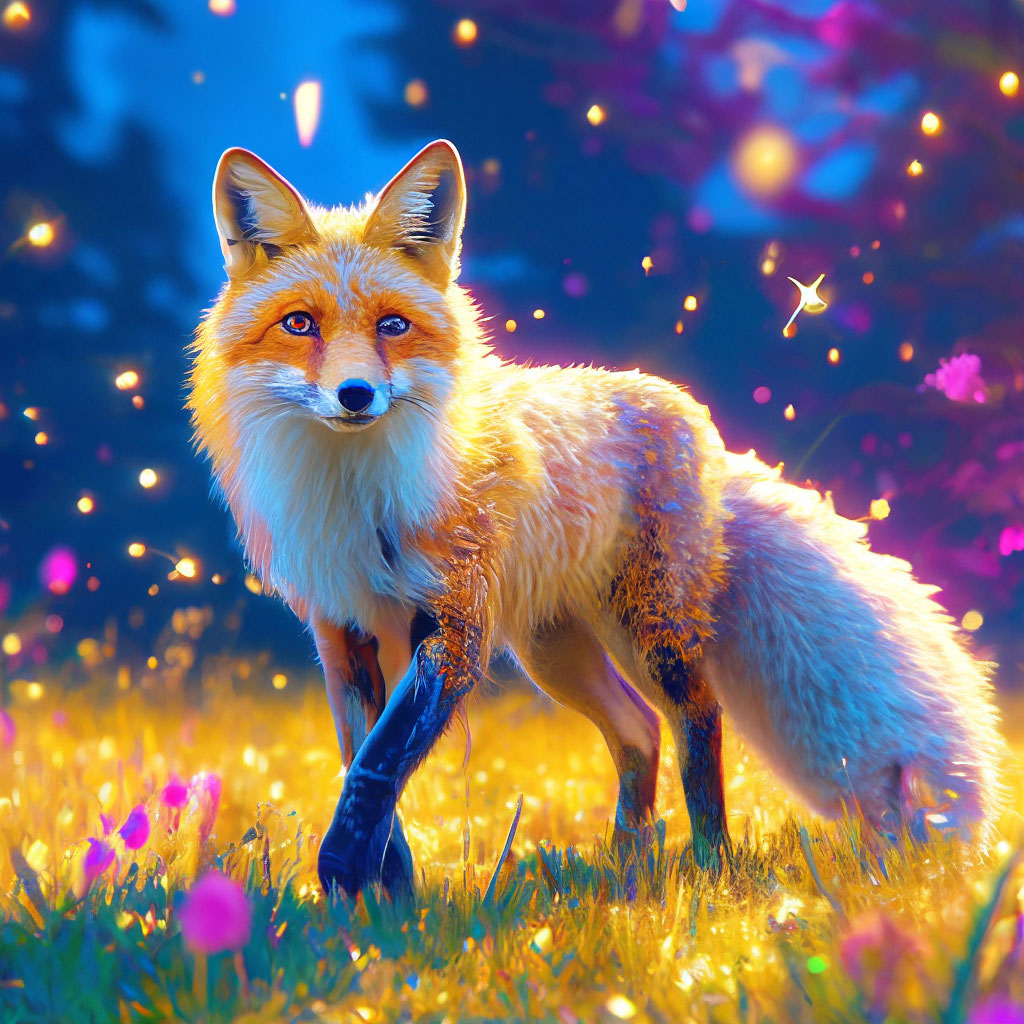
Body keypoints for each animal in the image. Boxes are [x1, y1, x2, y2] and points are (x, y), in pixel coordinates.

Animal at [189, 139, 1007, 900]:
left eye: (393, 325)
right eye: (300, 324)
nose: (356, 395)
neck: (357, 497)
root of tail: (703, 427)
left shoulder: (455, 632)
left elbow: (375, 772)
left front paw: (347, 889)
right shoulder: (341, 633)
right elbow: (365, 770)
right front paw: (382, 910)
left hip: (650, 632)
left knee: (696, 720)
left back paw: (710, 864)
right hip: (555, 651)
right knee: (637, 731)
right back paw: (627, 872)